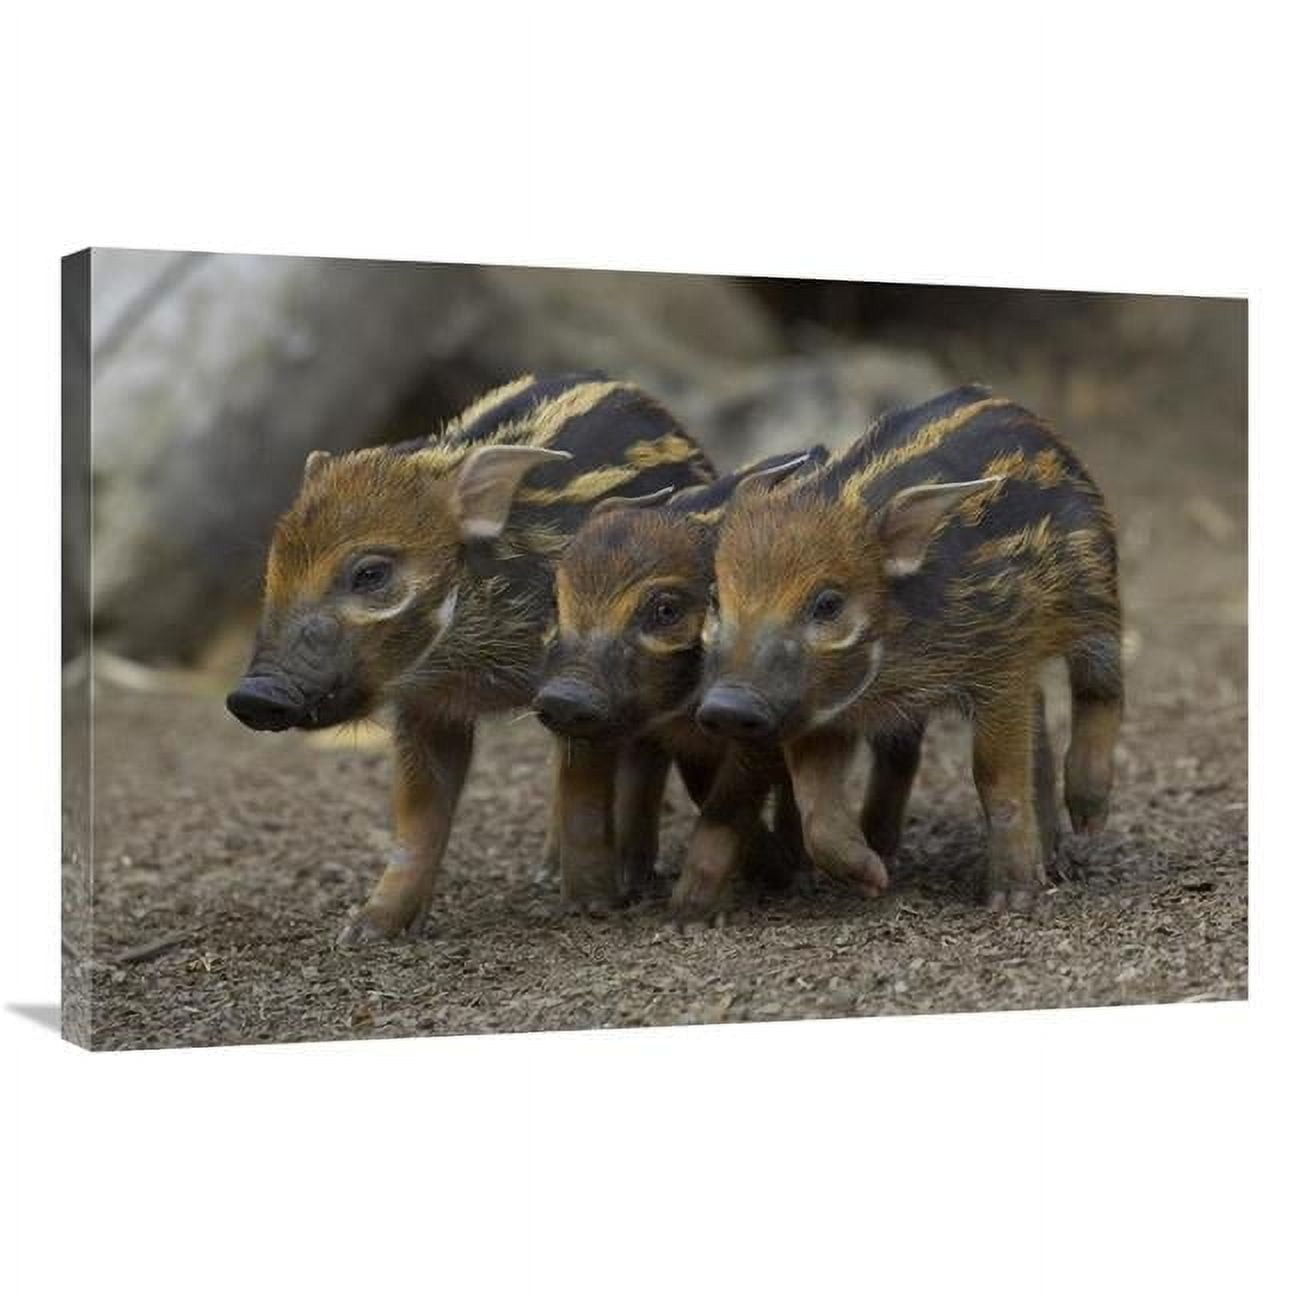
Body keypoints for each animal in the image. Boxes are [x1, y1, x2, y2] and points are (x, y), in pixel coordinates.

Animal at [226, 373, 715, 942]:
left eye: (370, 574)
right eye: (273, 568)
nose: (255, 694)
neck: (470, 660)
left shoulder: (578, 691)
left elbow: (584, 789)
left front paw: (593, 905)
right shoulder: (427, 706)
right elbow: (418, 814)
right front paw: (367, 930)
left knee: (641, 757)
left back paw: (631, 877)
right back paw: (549, 871)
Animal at [698, 385, 1123, 914]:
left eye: (828, 604)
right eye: (716, 598)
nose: (728, 706)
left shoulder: (1000, 663)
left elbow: (995, 776)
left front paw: (1012, 899)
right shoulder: (813, 709)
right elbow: (816, 803)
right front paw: (873, 881)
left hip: (1097, 592)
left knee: (1101, 688)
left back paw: (1088, 822)